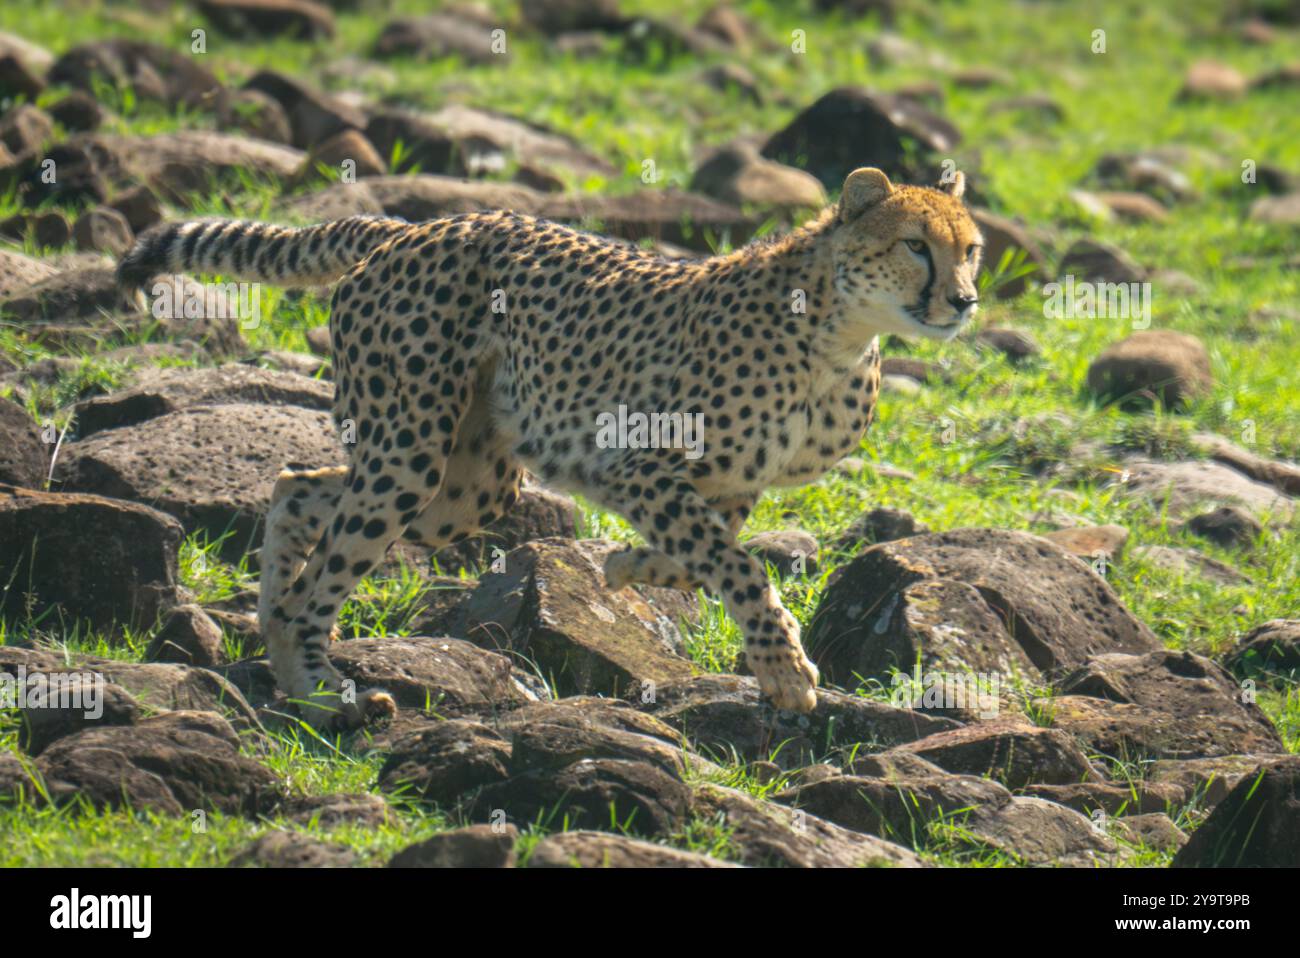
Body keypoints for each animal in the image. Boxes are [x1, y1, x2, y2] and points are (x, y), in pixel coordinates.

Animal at [117, 166, 983, 730]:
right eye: (915, 244)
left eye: (970, 247)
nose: (965, 299)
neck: (842, 330)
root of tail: (414, 224)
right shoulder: (637, 459)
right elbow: (737, 567)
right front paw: (785, 672)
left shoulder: (730, 486)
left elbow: (706, 553)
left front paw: (627, 567)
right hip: (412, 455)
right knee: (320, 566)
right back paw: (321, 692)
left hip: (461, 483)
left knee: (299, 484)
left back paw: (286, 656)